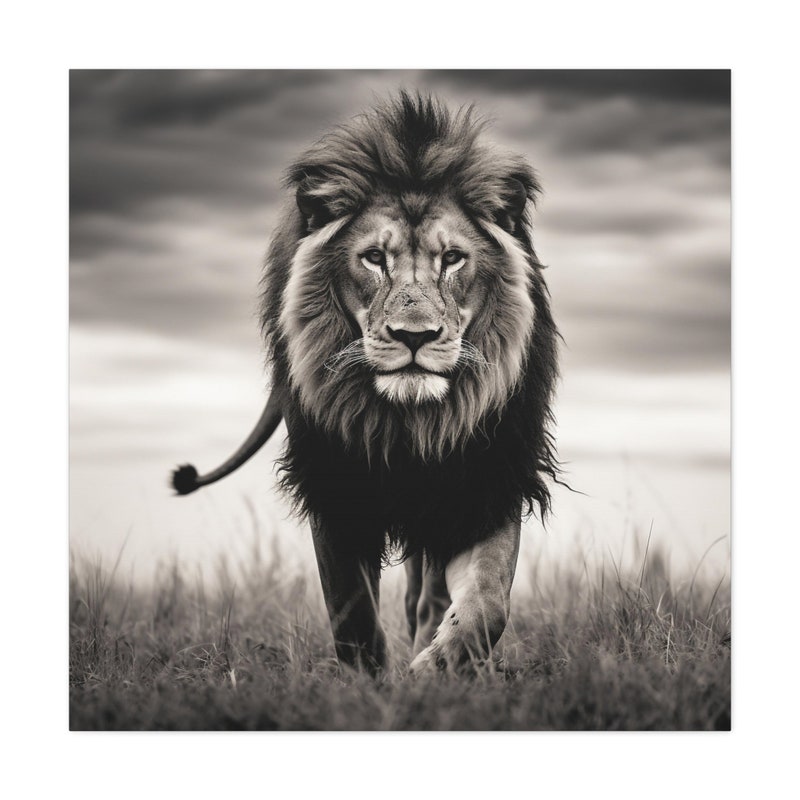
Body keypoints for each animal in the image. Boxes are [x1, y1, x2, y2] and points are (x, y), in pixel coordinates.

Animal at [172, 93, 559, 676]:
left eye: (452, 258)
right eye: (375, 258)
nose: (414, 336)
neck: (409, 423)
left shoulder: (487, 477)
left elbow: (487, 603)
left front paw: (432, 669)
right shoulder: (336, 486)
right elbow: (352, 615)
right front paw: (371, 684)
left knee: (430, 592)